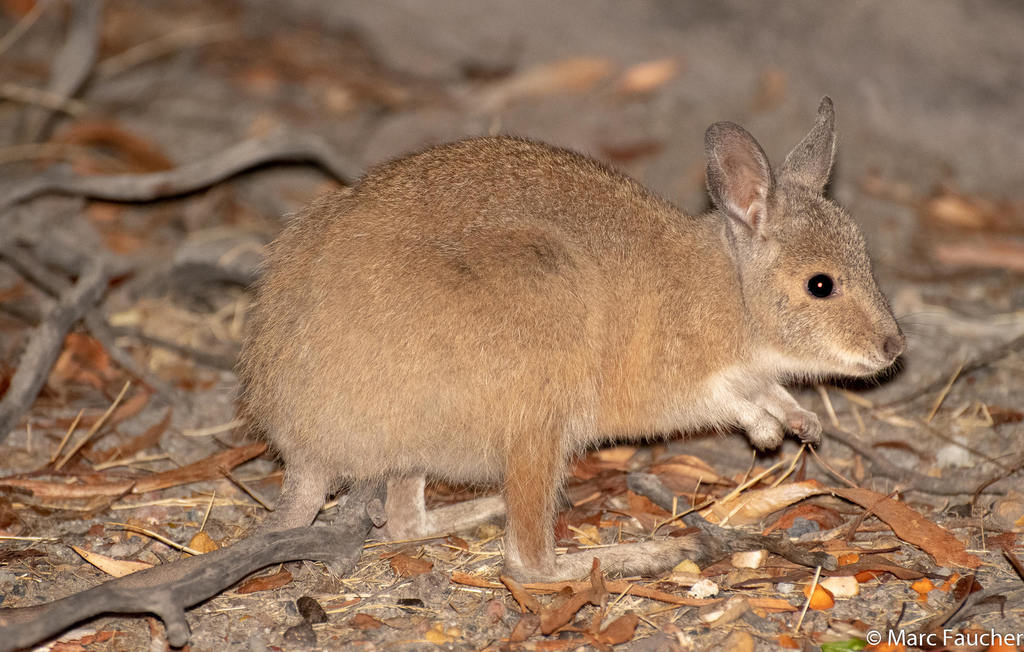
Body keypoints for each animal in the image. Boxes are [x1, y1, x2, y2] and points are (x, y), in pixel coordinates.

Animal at [237, 97, 904, 581]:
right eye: (820, 285)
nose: (894, 349)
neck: (731, 298)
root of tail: (304, 451)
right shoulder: (667, 380)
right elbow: (722, 400)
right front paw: (765, 428)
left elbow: (766, 389)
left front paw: (797, 419)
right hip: (538, 397)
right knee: (527, 564)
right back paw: (645, 555)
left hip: (428, 445)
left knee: (405, 522)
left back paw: (481, 509)